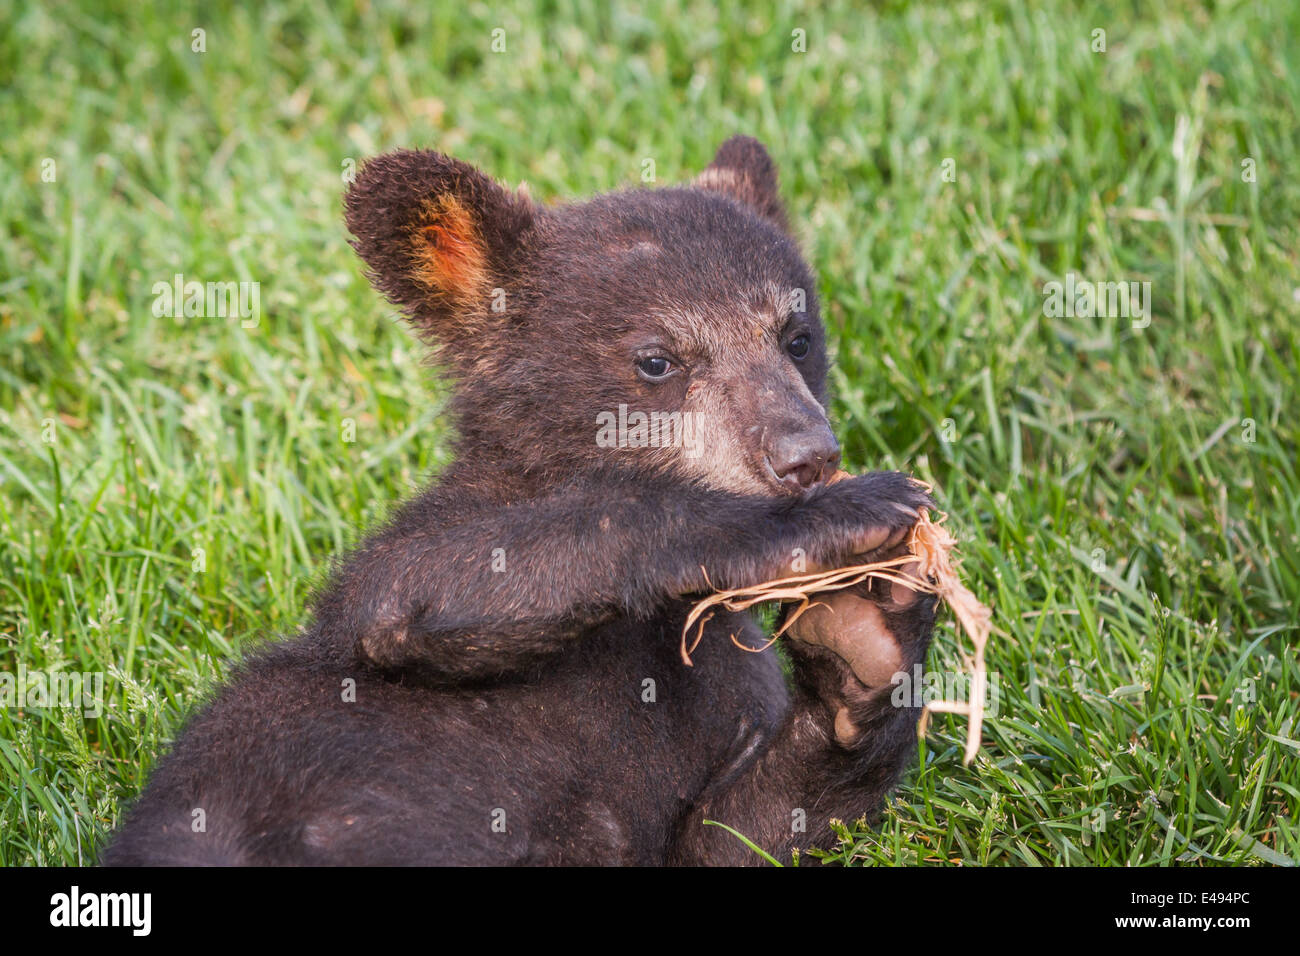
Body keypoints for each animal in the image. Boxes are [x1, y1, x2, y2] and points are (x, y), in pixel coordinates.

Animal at [101, 136, 938, 866]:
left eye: (796, 336)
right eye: (657, 359)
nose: (806, 456)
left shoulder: (719, 703)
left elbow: (734, 832)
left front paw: (865, 633)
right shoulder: (393, 581)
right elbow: (418, 586)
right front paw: (824, 521)